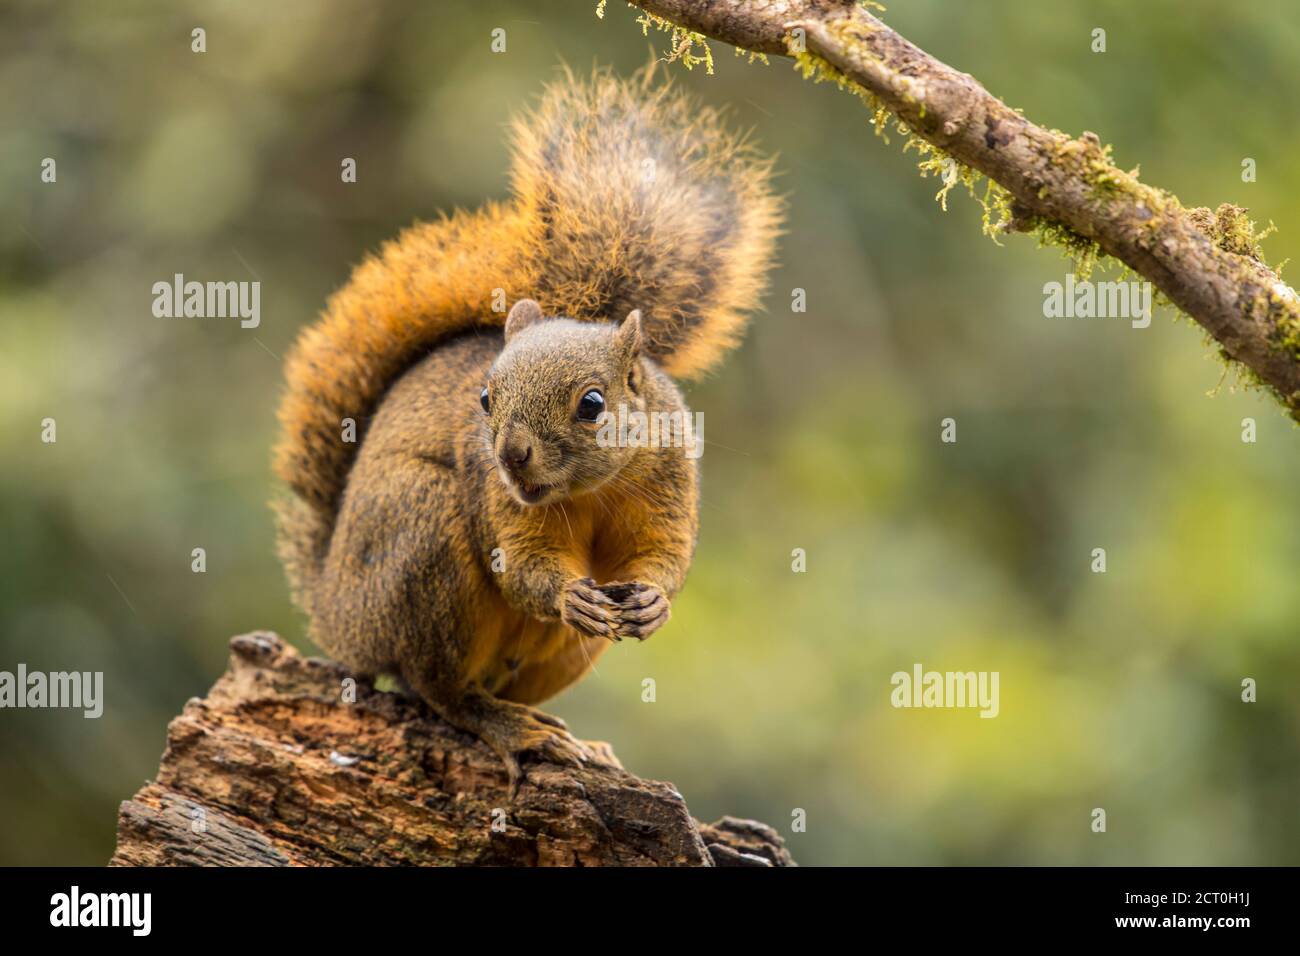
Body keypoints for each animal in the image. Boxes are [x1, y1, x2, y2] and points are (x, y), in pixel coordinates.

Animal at [273, 66, 781, 789]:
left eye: (593, 404)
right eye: (485, 398)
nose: (511, 456)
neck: (589, 492)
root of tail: (337, 616)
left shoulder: (669, 475)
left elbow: (665, 551)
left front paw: (654, 600)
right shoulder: (500, 504)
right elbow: (520, 566)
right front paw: (567, 594)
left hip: (560, 655)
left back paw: (578, 741)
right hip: (420, 537)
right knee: (436, 687)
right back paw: (505, 725)